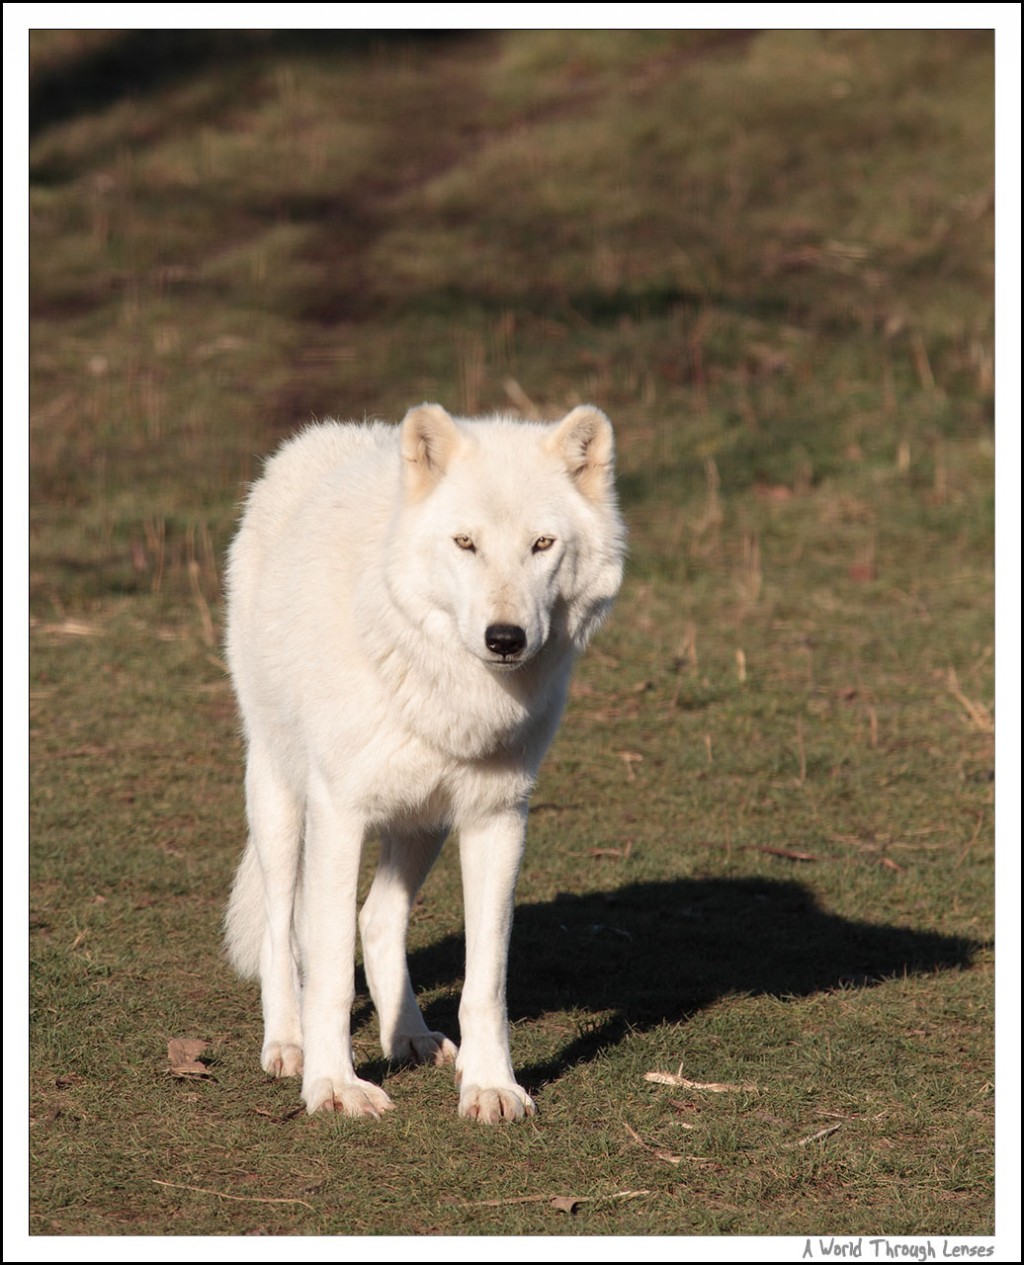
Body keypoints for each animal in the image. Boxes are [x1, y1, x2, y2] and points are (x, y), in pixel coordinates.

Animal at [223, 402, 625, 1122]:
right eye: (465, 543)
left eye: (542, 545)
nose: (505, 638)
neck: (450, 685)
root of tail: (324, 435)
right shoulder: (339, 811)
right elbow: (328, 968)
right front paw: (334, 1086)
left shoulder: (498, 818)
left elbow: (485, 982)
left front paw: (490, 1085)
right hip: (280, 796)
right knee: (281, 926)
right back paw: (289, 1045)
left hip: (424, 821)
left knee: (378, 919)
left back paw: (407, 1036)